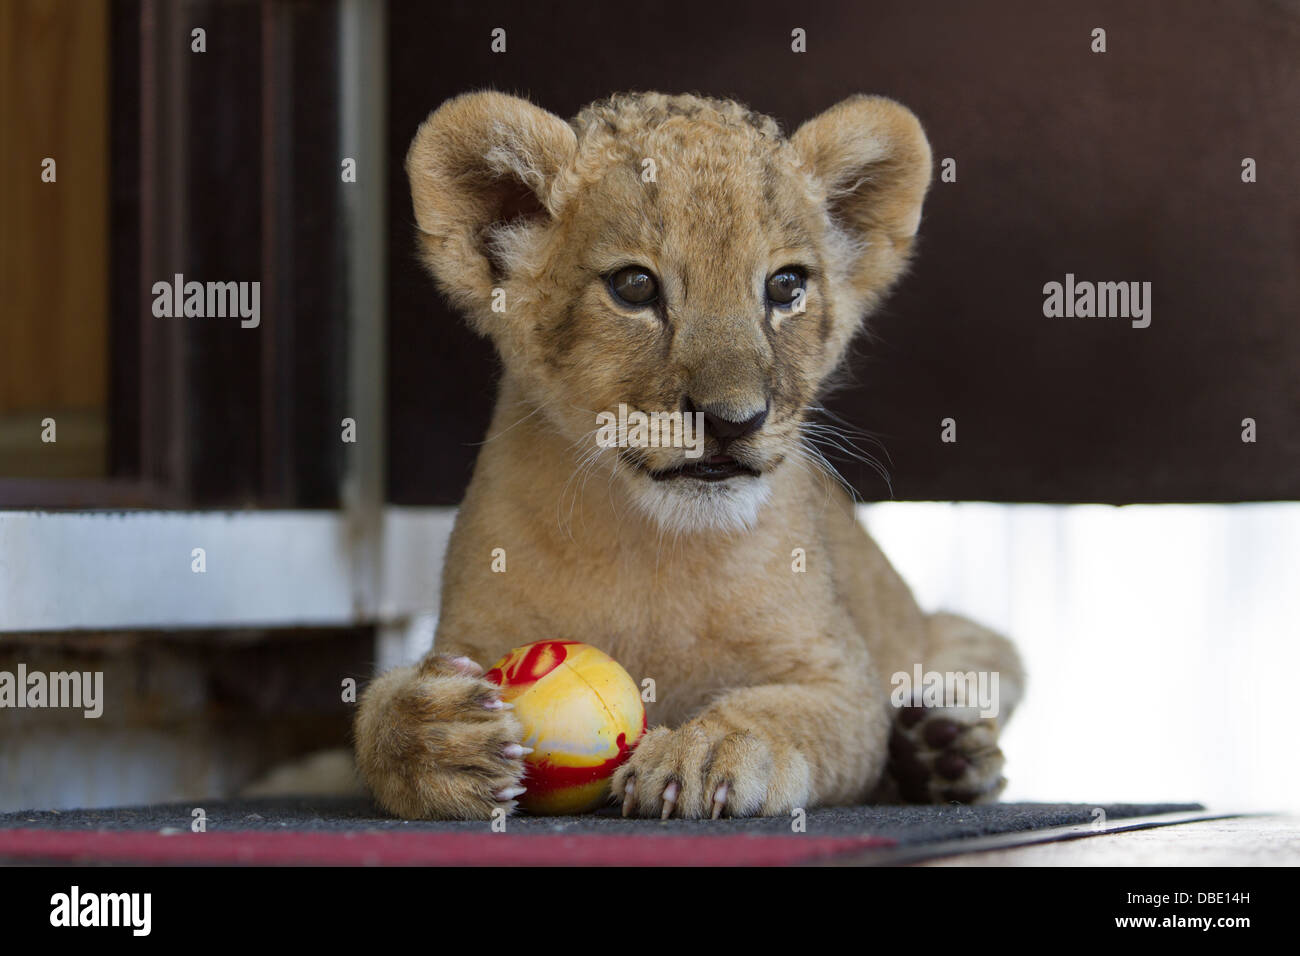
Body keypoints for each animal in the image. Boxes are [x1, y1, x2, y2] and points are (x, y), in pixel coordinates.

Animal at [354, 91, 1025, 819]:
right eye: (634, 287)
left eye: (786, 285)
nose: (733, 420)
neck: (651, 543)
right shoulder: (467, 636)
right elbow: (370, 719)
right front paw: (435, 737)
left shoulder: (841, 680)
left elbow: (783, 713)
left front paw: (709, 750)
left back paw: (944, 753)